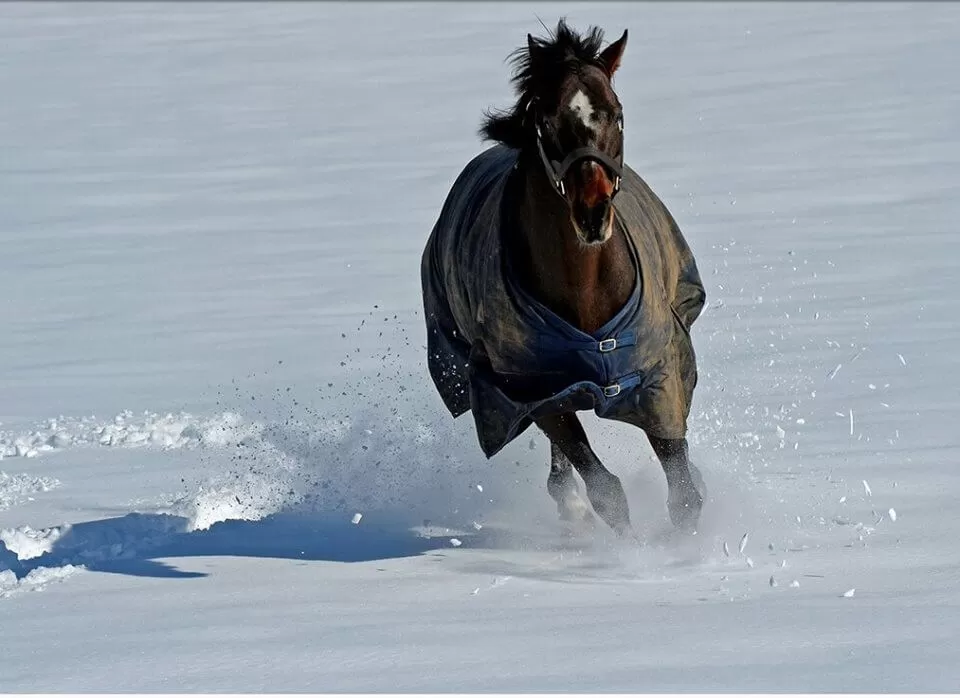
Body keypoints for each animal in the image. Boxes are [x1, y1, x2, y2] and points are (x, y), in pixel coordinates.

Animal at [420, 20, 704, 532]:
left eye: (616, 114)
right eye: (548, 120)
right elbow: (605, 488)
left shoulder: (659, 373)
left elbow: (682, 487)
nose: (592, 213)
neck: (584, 283)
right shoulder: (521, 391)